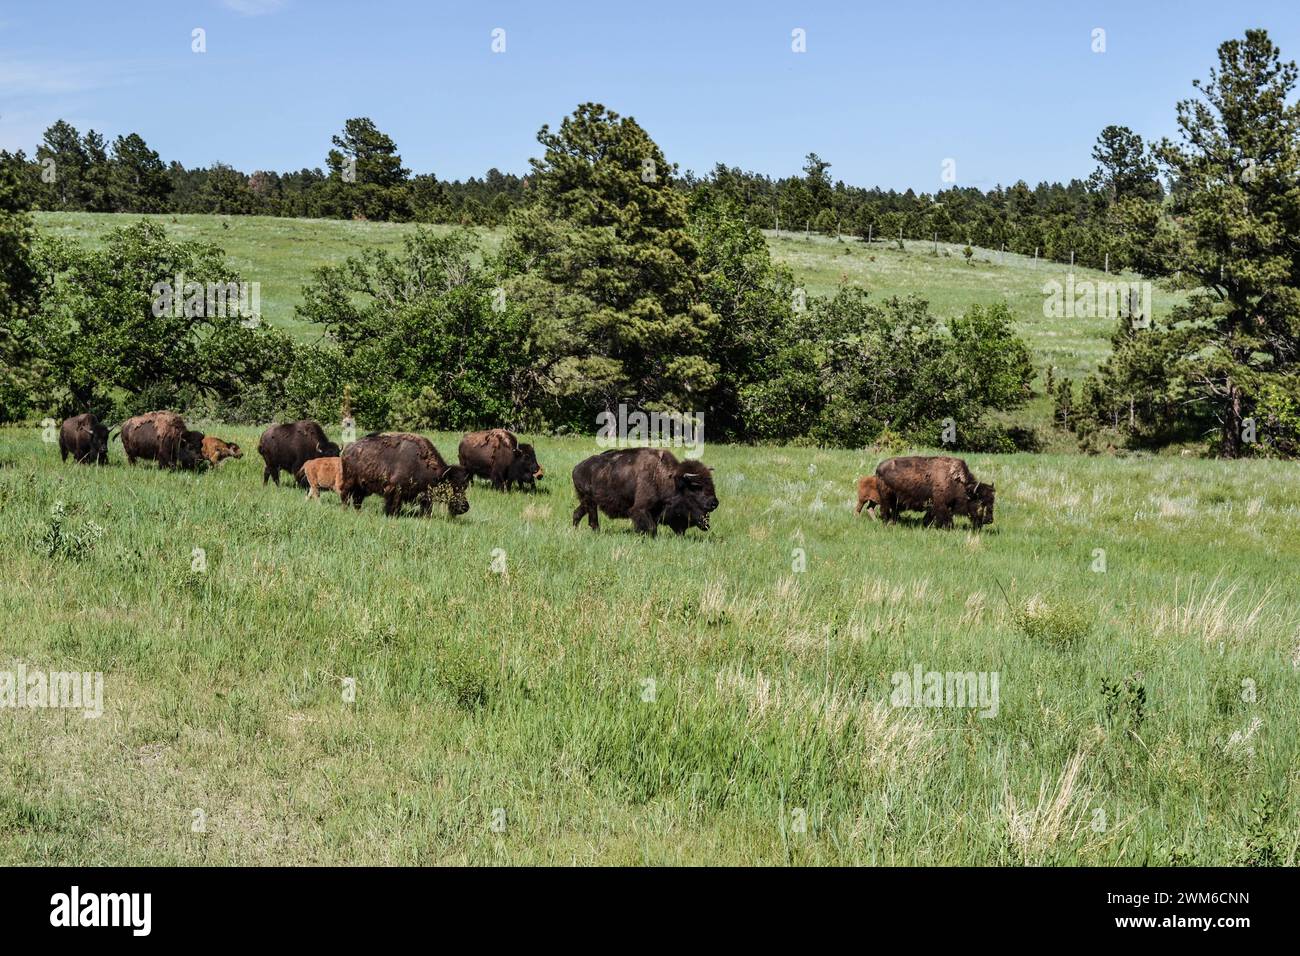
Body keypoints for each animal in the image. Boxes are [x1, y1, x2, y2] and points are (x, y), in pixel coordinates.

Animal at [339, 432, 470, 517]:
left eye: (465, 486)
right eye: (453, 486)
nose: (464, 507)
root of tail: (348, 449)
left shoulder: (425, 495)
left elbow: (427, 508)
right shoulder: (395, 489)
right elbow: (393, 505)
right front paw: (391, 515)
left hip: (362, 487)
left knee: (357, 499)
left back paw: (358, 512)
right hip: (350, 482)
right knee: (345, 495)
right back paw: (345, 510)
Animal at [572, 447, 718, 536]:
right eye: (696, 487)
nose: (714, 503)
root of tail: (577, 468)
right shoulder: (640, 509)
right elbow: (651, 527)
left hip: (587, 501)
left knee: (577, 513)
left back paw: (575, 530)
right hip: (590, 501)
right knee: (592, 520)